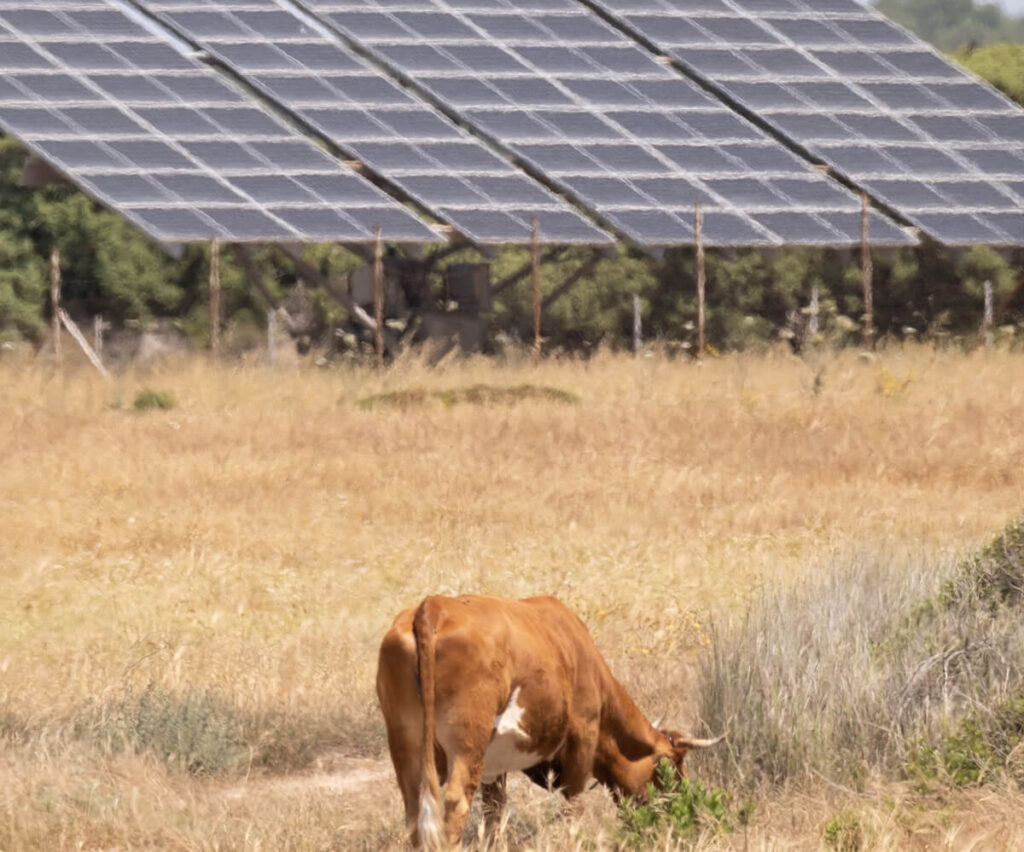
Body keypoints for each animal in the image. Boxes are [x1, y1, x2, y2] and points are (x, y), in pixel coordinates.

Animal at [374, 593, 720, 847]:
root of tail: (434, 606)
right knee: (454, 805)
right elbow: (573, 806)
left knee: (414, 811)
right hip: (467, 742)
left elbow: (494, 814)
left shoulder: (494, 766)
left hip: (406, 741)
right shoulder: (583, 734)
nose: (680, 813)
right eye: (670, 768)